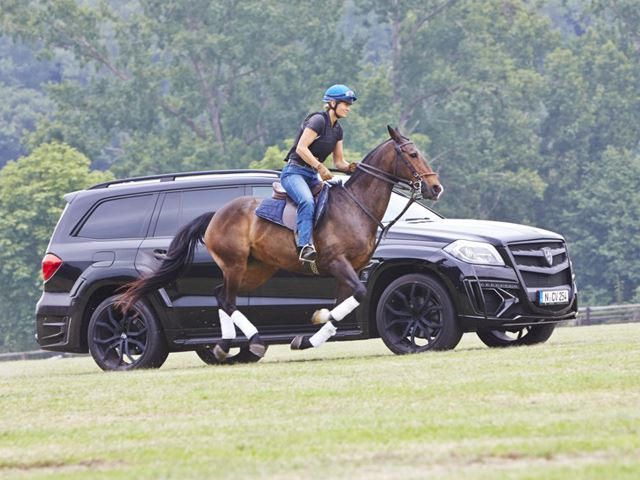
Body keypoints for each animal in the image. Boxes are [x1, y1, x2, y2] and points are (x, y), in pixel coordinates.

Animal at [118, 126, 443, 361]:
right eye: (412, 154)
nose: (436, 187)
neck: (356, 207)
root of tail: (214, 216)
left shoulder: (350, 269)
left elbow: (342, 307)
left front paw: (310, 337)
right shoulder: (337, 263)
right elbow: (356, 297)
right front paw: (314, 325)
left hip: (256, 269)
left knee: (220, 294)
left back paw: (226, 345)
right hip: (235, 264)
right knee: (227, 299)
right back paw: (253, 341)